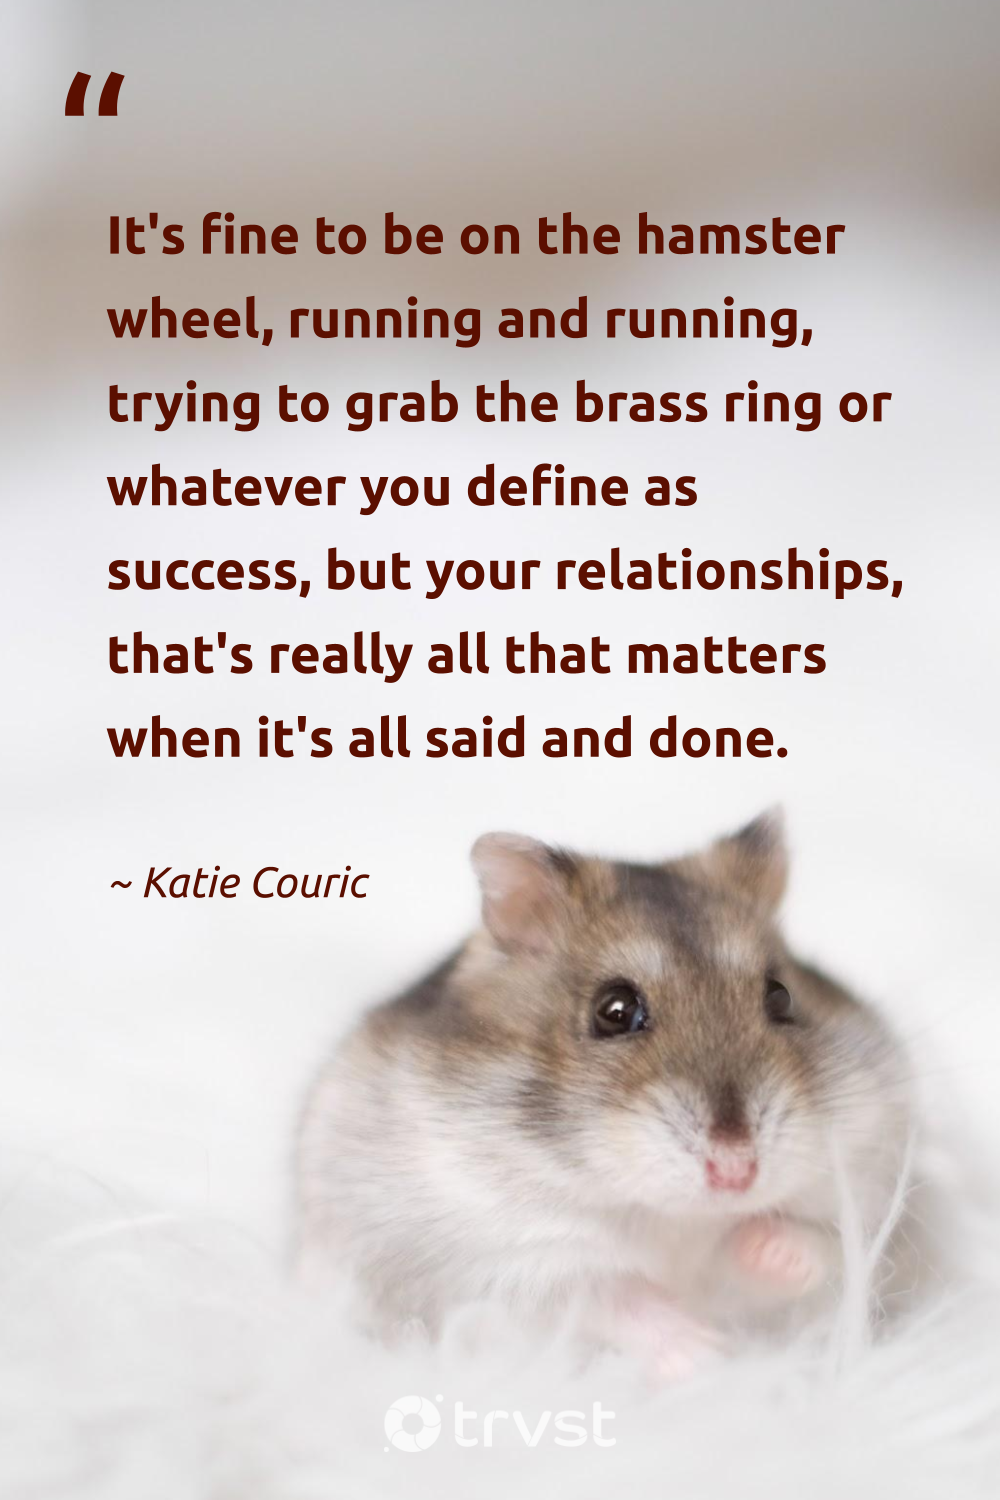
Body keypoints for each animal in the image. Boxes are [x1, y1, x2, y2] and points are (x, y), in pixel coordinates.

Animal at [295, 814, 916, 1370]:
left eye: (782, 996)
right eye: (613, 1011)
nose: (737, 1172)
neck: (671, 1215)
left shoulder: (870, 1202)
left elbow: (819, 1249)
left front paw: (757, 1245)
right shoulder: (504, 1261)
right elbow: (608, 1296)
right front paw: (705, 1354)